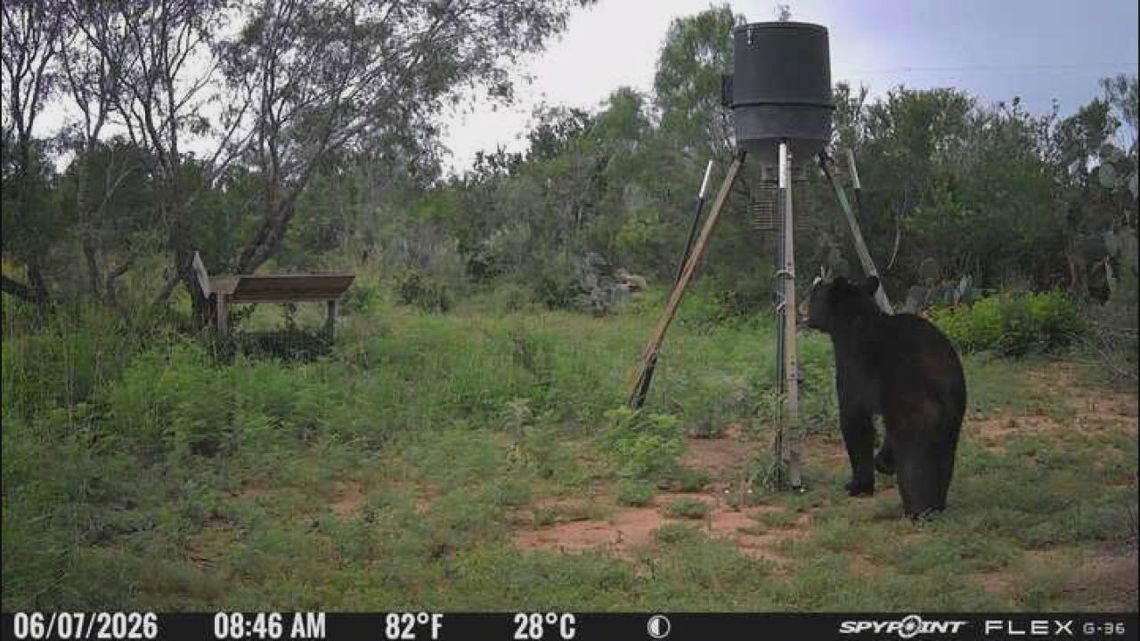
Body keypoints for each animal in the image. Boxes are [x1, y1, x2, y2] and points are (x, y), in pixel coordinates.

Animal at [801, 275, 967, 518]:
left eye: (815, 293)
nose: (806, 313)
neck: (852, 322)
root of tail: (942, 382)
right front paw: (883, 462)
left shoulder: (853, 366)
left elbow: (855, 420)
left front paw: (858, 485)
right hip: (953, 414)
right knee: (944, 455)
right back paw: (936, 505)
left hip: (915, 403)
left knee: (913, 457)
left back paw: (917, 509)